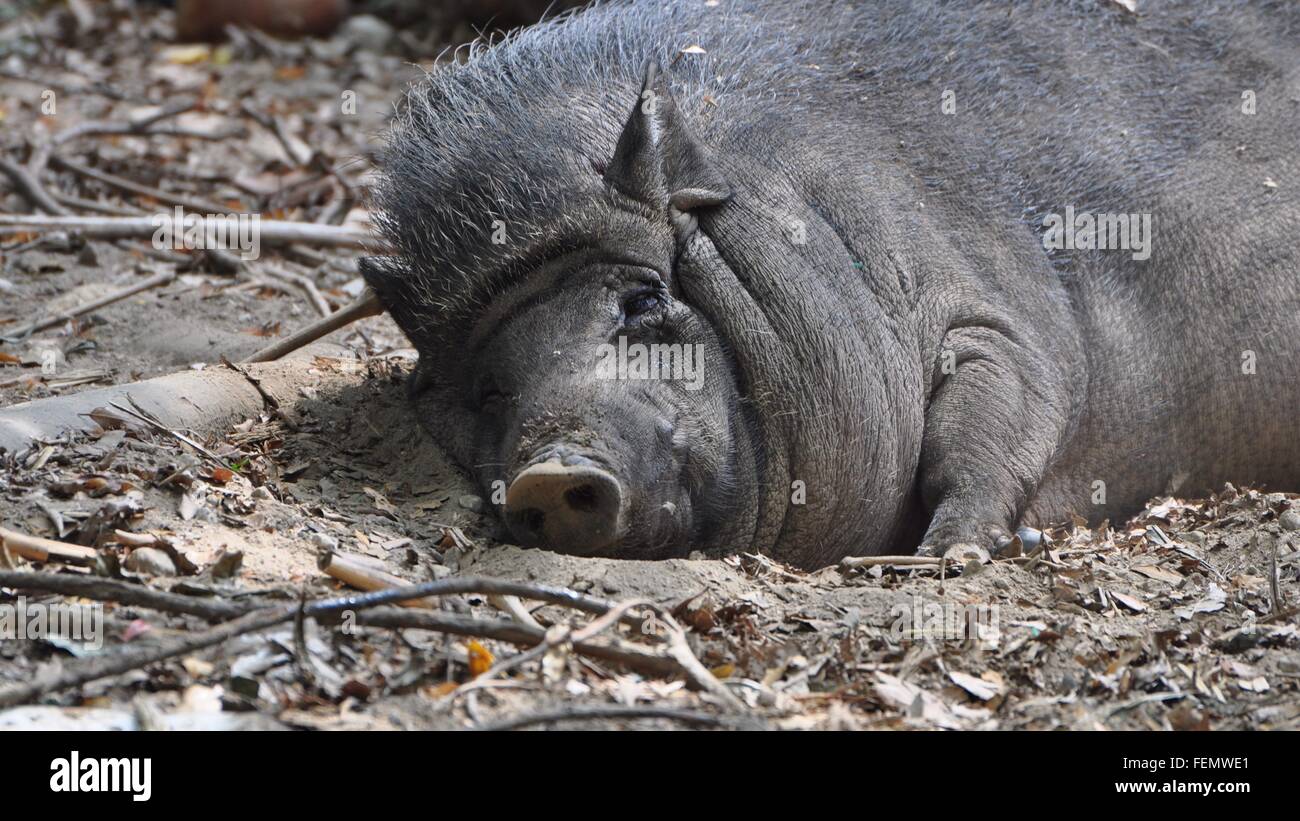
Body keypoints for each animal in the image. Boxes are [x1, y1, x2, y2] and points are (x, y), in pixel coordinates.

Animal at [362, 0, 1300, 569]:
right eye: (488, 388)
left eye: (644, 299)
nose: (550, 472)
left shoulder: (987, 317)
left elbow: (997, 411)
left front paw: (950, 556)